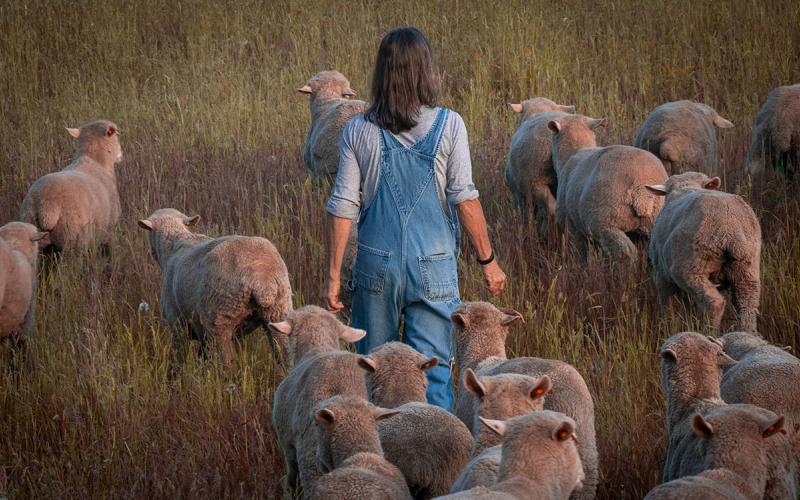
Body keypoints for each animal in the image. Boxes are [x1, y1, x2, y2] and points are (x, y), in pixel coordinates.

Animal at [20, 120, 122, 255]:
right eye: (117, 135)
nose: (121, 155)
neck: (97, 161)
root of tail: (47, 207)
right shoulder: (110, 231)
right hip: (73, 239)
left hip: (34, 232)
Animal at [137, 208, 292, 370]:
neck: (173, 245)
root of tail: (260, 279)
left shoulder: (176, 323)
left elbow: (180, 356)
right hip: (278, 312)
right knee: (285, 355)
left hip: (219, 319)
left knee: (226, 363)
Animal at [548, 114, 668, 261]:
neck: (574, 152)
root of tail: (641, 188)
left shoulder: (571, 226)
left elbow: (580, 256)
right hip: (653, 223)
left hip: (606, 224)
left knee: (627, 253)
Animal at [646, 172, 761, 332]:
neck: (686, 187)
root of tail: (730, 228)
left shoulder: (662, 274)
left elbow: (667, 305)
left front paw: (666, 326)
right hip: (747, 268)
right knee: (747, 305)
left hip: (692, 267)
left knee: (714, 303)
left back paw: (709, 332)